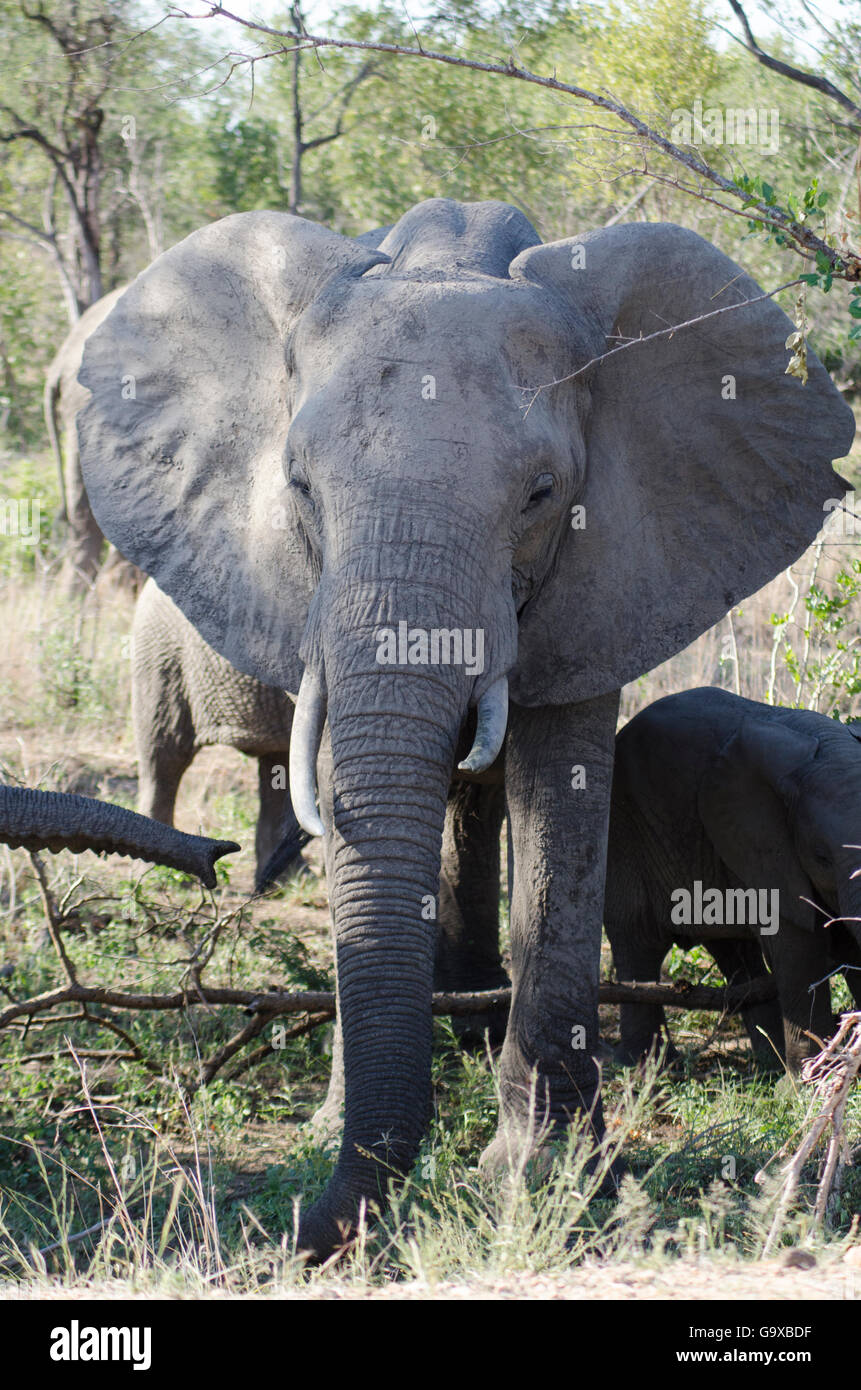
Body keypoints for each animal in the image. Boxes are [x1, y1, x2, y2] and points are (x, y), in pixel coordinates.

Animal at [605, 687, 861, 1072]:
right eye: (821, 857)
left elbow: (845, 947)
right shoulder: (766, 850)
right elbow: (799, 949)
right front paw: (809, 1078)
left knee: (735, 952)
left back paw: (768, 1064)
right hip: (623, 831)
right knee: (636, 937)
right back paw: (647, 1066)